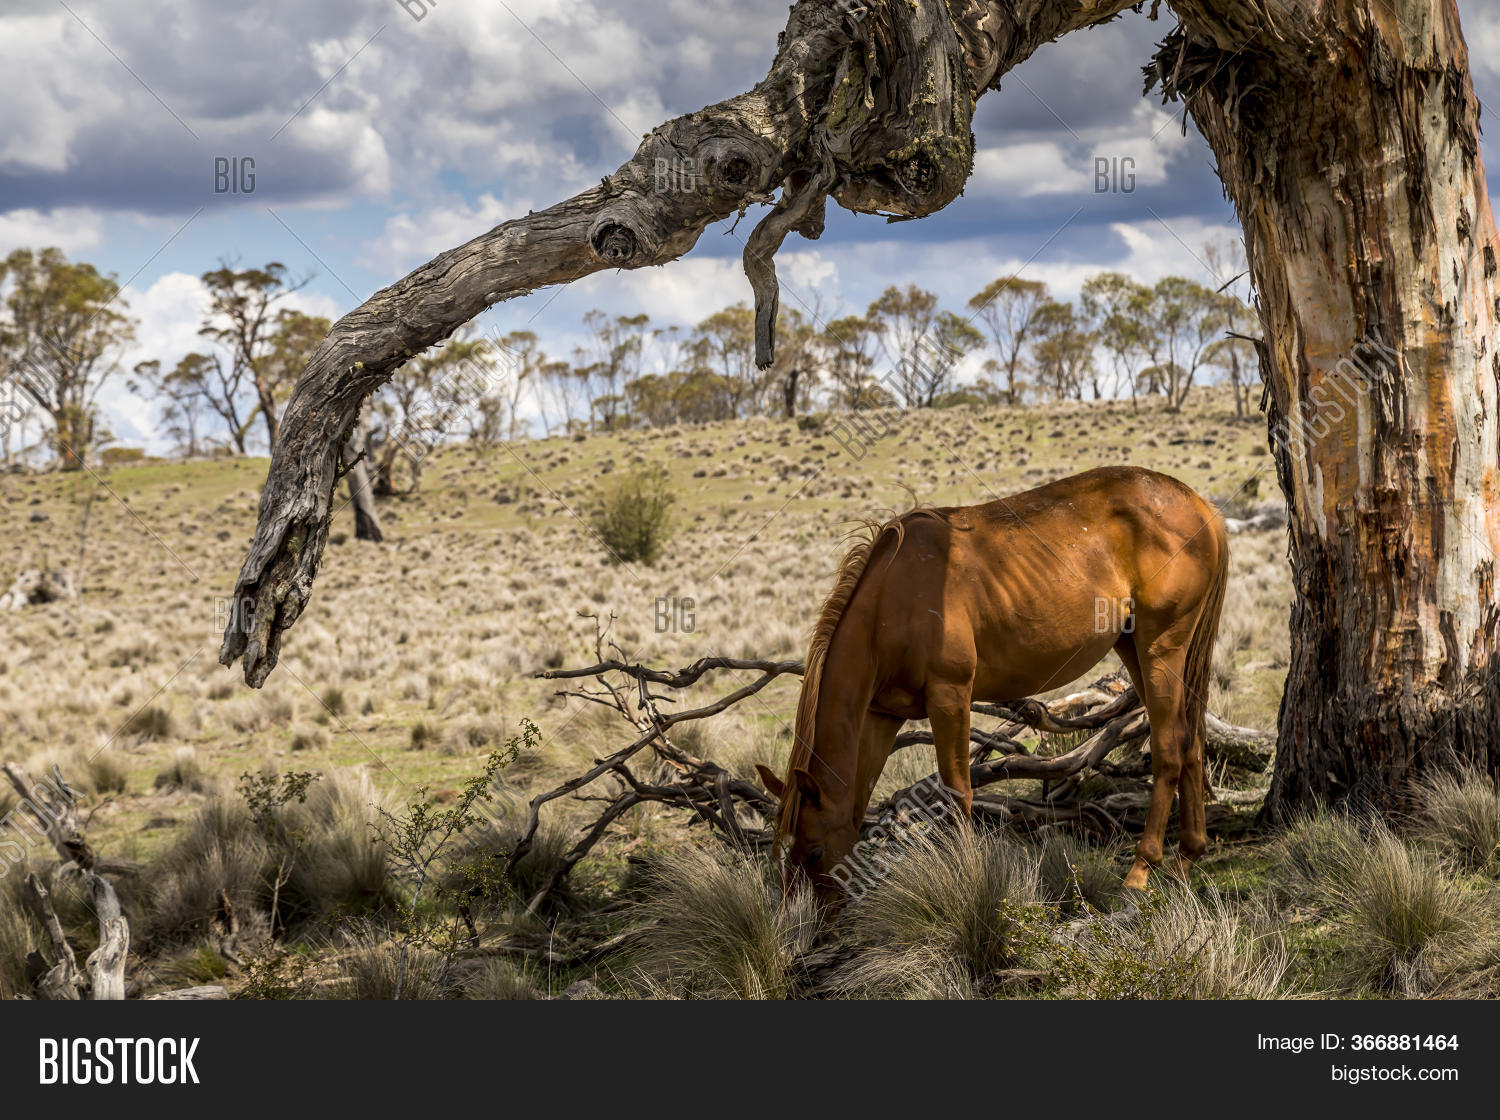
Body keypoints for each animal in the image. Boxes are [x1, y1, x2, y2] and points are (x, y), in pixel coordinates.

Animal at [755, 465, 1229, 905]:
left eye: (814, 853)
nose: (815, 927)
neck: (891, 602)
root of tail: (1199, 505)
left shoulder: (949, 697)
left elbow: (957, 792)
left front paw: (967, 875)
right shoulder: (881, 715)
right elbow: (859, 801)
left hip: (1159, 648)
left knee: (1169, 748)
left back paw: (1141, 870)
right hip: (1134, 649)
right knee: (1190, 740)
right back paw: (1186, 858)